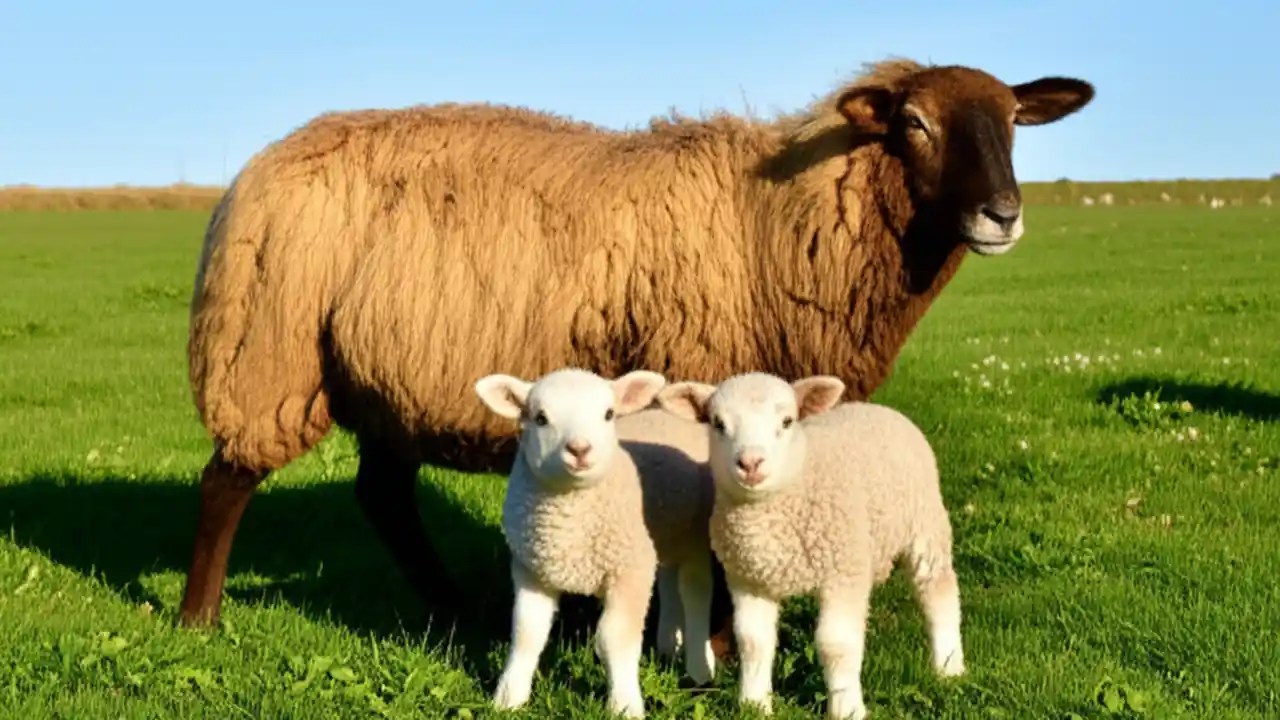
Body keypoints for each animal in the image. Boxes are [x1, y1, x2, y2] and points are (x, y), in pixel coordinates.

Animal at [179, 58, 1094, 643]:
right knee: (226, 481)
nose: (1004, 215)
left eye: (1014, 124)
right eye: (914, 124)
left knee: (383, 498)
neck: (781, 222)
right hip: (271, 351)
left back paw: (455, 609)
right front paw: (718, 644)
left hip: (392, 382)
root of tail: (258, 169)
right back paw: (199, 619)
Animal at [474, 367, 713, 717]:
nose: (579, 449)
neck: (569, 522)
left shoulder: (628, 572)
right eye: (540, 418)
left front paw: (625, 705)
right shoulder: (531, 571)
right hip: (663, 536)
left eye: (609, 414)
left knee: (696, 593)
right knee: (669, 581)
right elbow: (527, 633)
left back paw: (699, 665)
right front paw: (508, 698)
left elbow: (614, 639)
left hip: (695, 538)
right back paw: (670, 643)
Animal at [656, 372, 964, 719]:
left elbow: (836, 644)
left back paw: (949, 667)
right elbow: (753, 641)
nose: (750, 463)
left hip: (926, 525)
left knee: (937, 591)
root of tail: (879, 409)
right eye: (717, 423)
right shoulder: (749, 579)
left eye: (787, 421)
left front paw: (847, 708)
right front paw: (754, 703)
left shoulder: (842, 573)